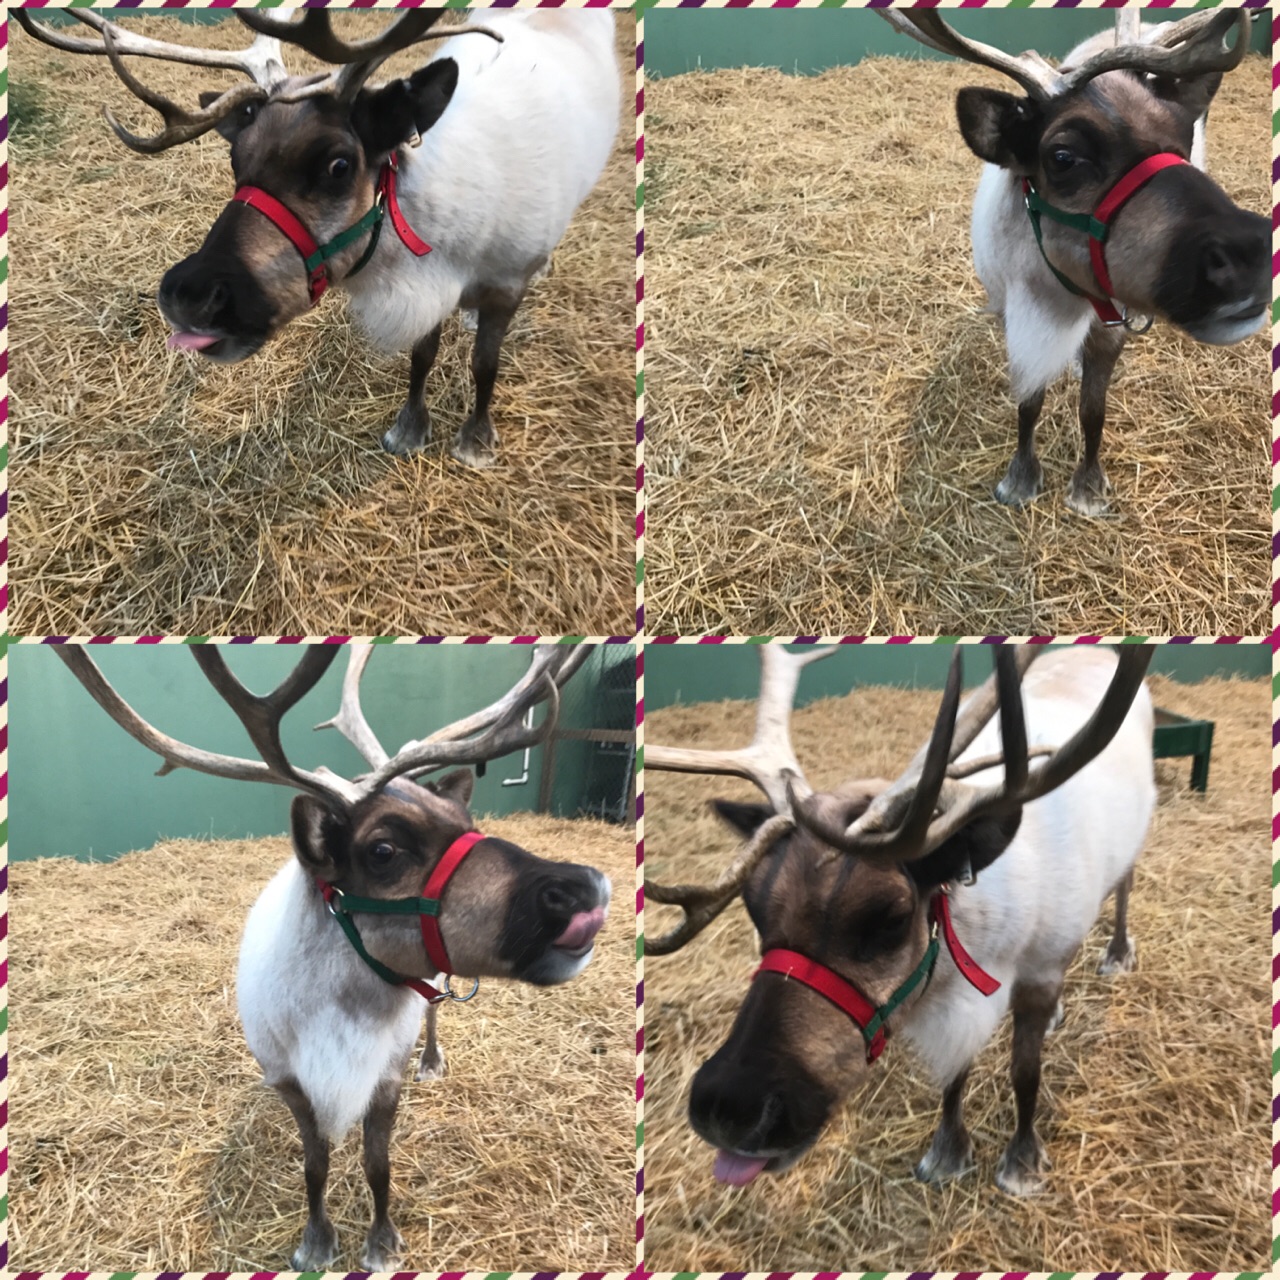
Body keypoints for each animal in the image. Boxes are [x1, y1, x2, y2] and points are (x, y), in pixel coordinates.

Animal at [15, 9, 621, 467]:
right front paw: (409, 429)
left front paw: (475, 440)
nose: (186, 294)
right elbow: (422, 357)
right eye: (236, 160)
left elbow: (484, 365)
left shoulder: (505, 281)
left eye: (338, 165)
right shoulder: (432, 294)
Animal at [54, 643, 612, 1268]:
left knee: (436, 1005)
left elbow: (377, 1165)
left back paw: (434, 1060)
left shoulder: (385, 1074)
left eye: (469, 825)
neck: (342, 1019)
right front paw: (316, 1243)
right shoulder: (288, 1078)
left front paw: (382, 1243)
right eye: (383, 849)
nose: (584, 887)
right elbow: (315, 1165)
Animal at [645, 644, 1154, 1195]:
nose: (723, 1106)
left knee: (1124, 885)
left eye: (889, 919)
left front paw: (1021, 1161)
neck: (989, 943)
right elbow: (955, 1073)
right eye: (754, 908)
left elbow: (1025, 1071)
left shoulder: (1040, 968)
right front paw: (947, 1153)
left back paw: (1118, 953)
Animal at [880, 11, 1267, 516]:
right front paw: (1020, 480)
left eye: (1185, 136)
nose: (1251, 253)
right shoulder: (1014, 315)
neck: (1056, 296)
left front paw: (1088, 487)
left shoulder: (1112, 322)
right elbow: (1028, 401)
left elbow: (1092, 411)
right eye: (1062, 157)